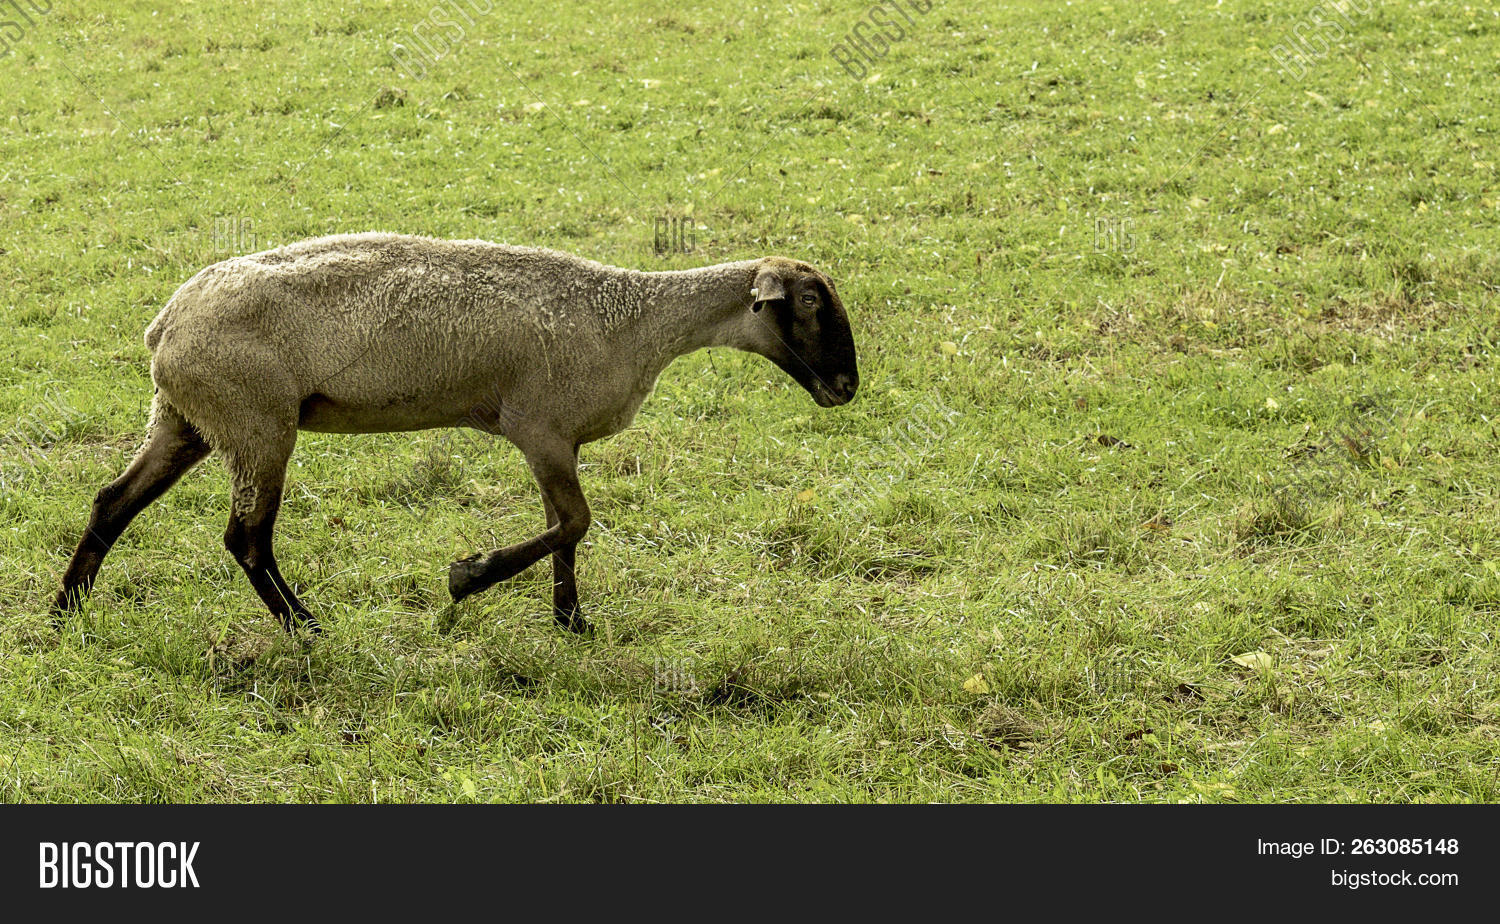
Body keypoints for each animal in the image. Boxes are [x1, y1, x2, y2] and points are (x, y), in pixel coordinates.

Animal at [53, 232, 859, 634]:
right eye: (810, 303)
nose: (848, 388)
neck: (635, 321)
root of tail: (165, 326)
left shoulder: (557, 439)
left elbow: (566, 530)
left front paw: (570, 621)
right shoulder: (538, 426)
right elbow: (575, 522)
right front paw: (470, 578)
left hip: (187, 418)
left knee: (112, 503)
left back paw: (67, 612)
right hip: (256, 422)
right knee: (246, 538)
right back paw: (305, 625)